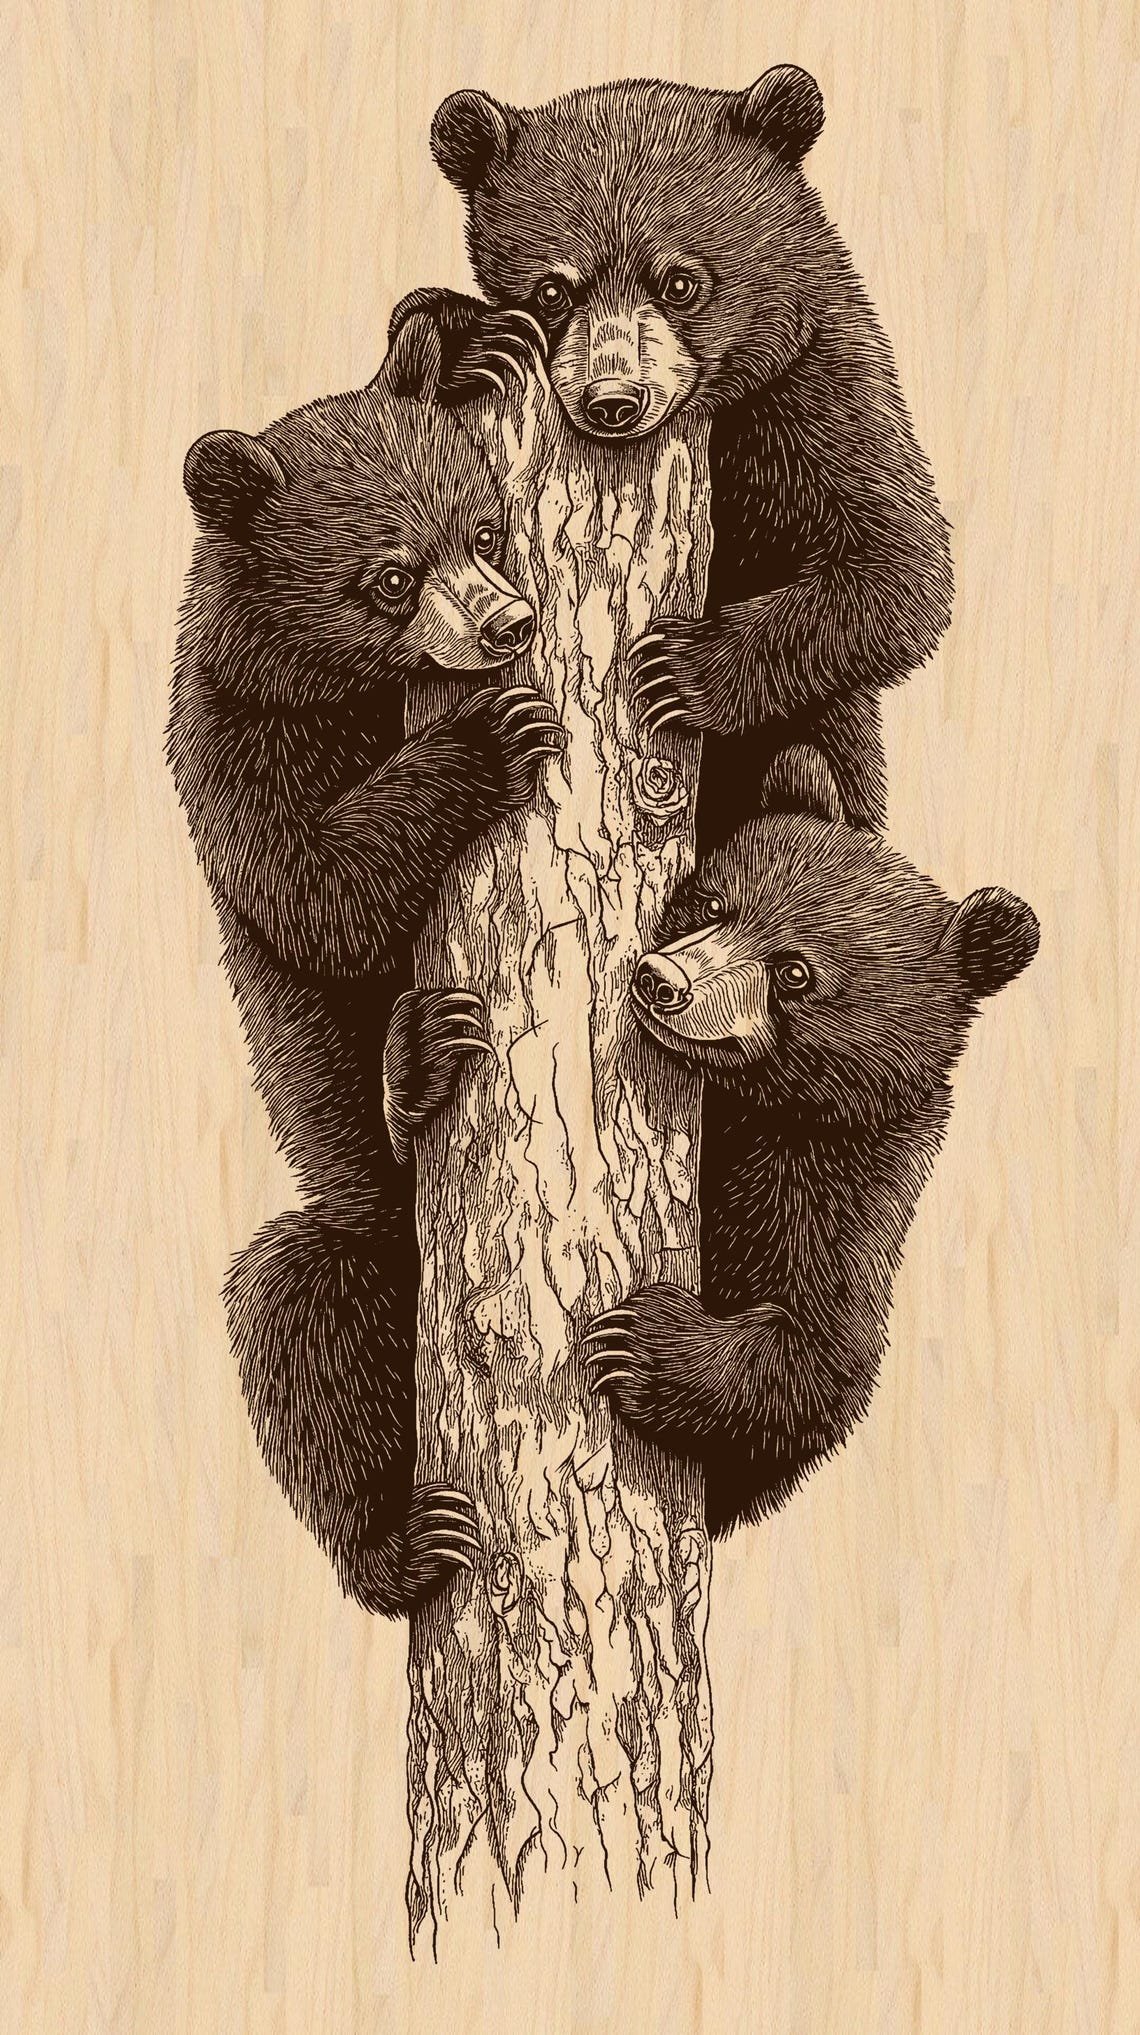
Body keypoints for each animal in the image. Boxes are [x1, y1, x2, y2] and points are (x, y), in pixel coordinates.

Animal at [167, 312, 566, 1613]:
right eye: (389, 577)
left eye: (485, 530)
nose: (506, 625)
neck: (346, 689)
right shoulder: (232, 739)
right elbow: (321, 892)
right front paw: (488, 736)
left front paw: (463, 336)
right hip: (358, 1237)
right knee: (296, 1315)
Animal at [390, 69, 954, 853]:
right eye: (553, 289)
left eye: (680, 281)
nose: (613, 400)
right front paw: (465, 334)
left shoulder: (817, 394)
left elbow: (898, 561)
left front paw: (675, 670)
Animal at [581, 747, 1039, 1537]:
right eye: (714, 905)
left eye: (794, 971)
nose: (663, 979)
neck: (761, 1113)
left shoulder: (840, 1192)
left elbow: (820, 1356)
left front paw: (643, 1342)